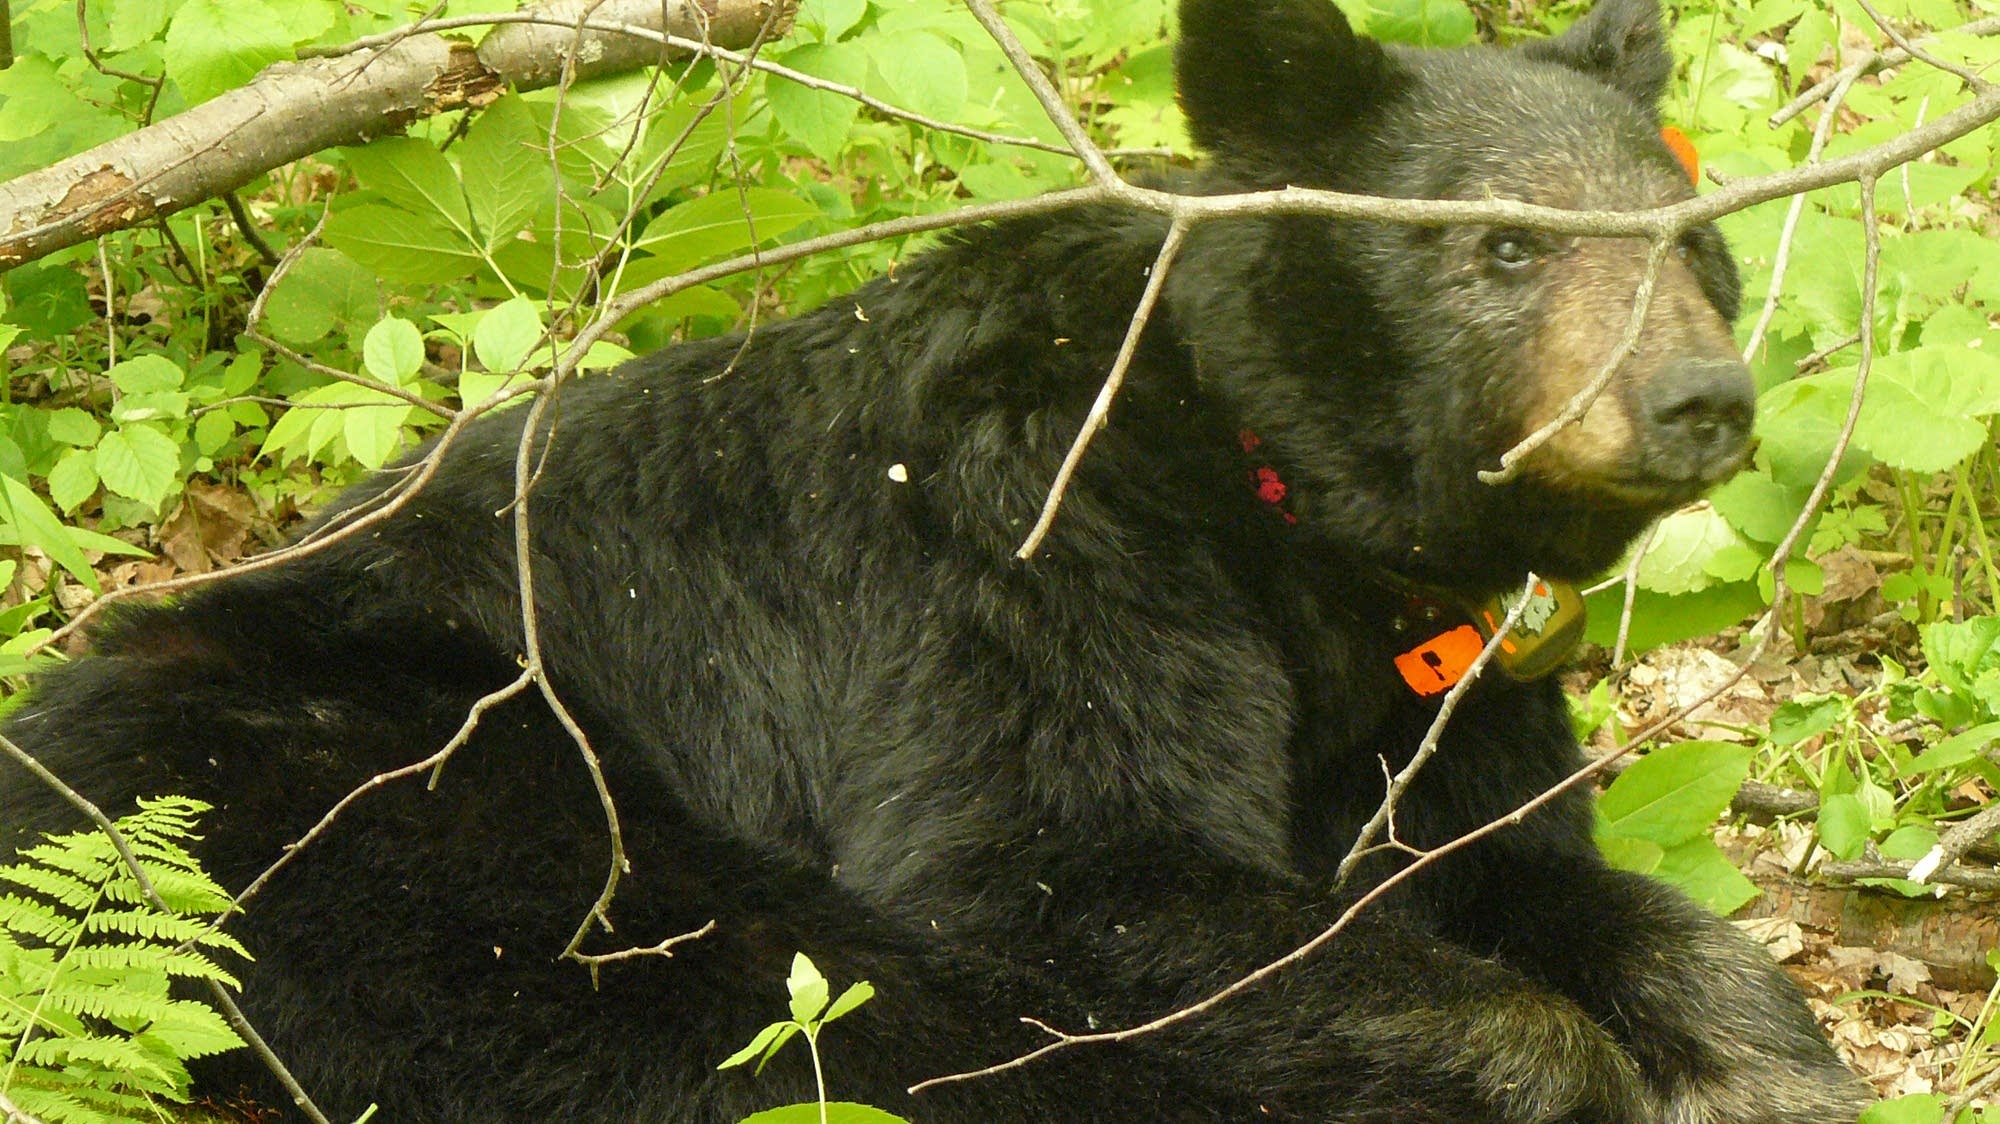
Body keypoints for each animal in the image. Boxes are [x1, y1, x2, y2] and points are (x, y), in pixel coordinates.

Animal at [0, 0, 1872, 1120]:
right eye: (1500, 245)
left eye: (1701, 243)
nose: (1703, 398)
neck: (1285, 513)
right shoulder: (1026, 543)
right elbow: (1067, 871)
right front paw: (1586, 1071)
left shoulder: (1433, 687)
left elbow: (1540, 873)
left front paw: (1759, 1057)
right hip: (407, 805)